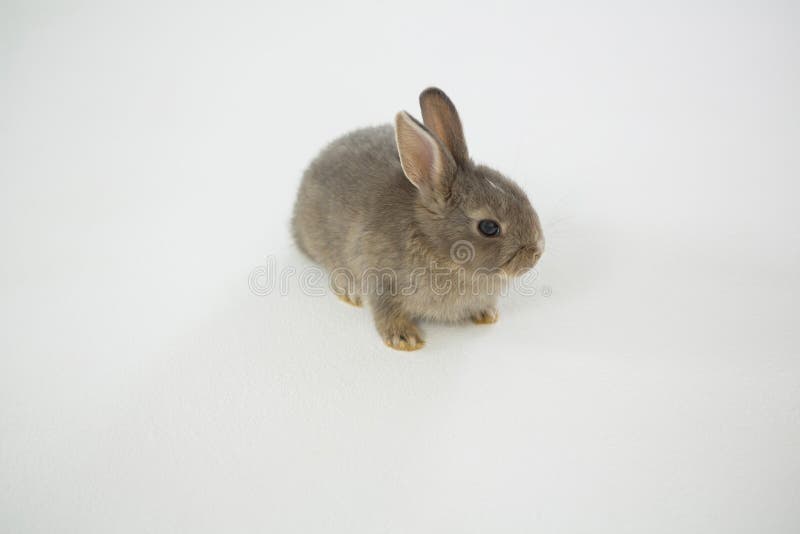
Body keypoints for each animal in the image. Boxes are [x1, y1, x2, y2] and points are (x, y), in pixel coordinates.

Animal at [292, 87, 544, 351]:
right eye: (489, 227)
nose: (536, 253)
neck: (434, 245)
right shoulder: (382, 281)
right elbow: (386, 312)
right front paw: (405, 339)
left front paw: (487, 314)